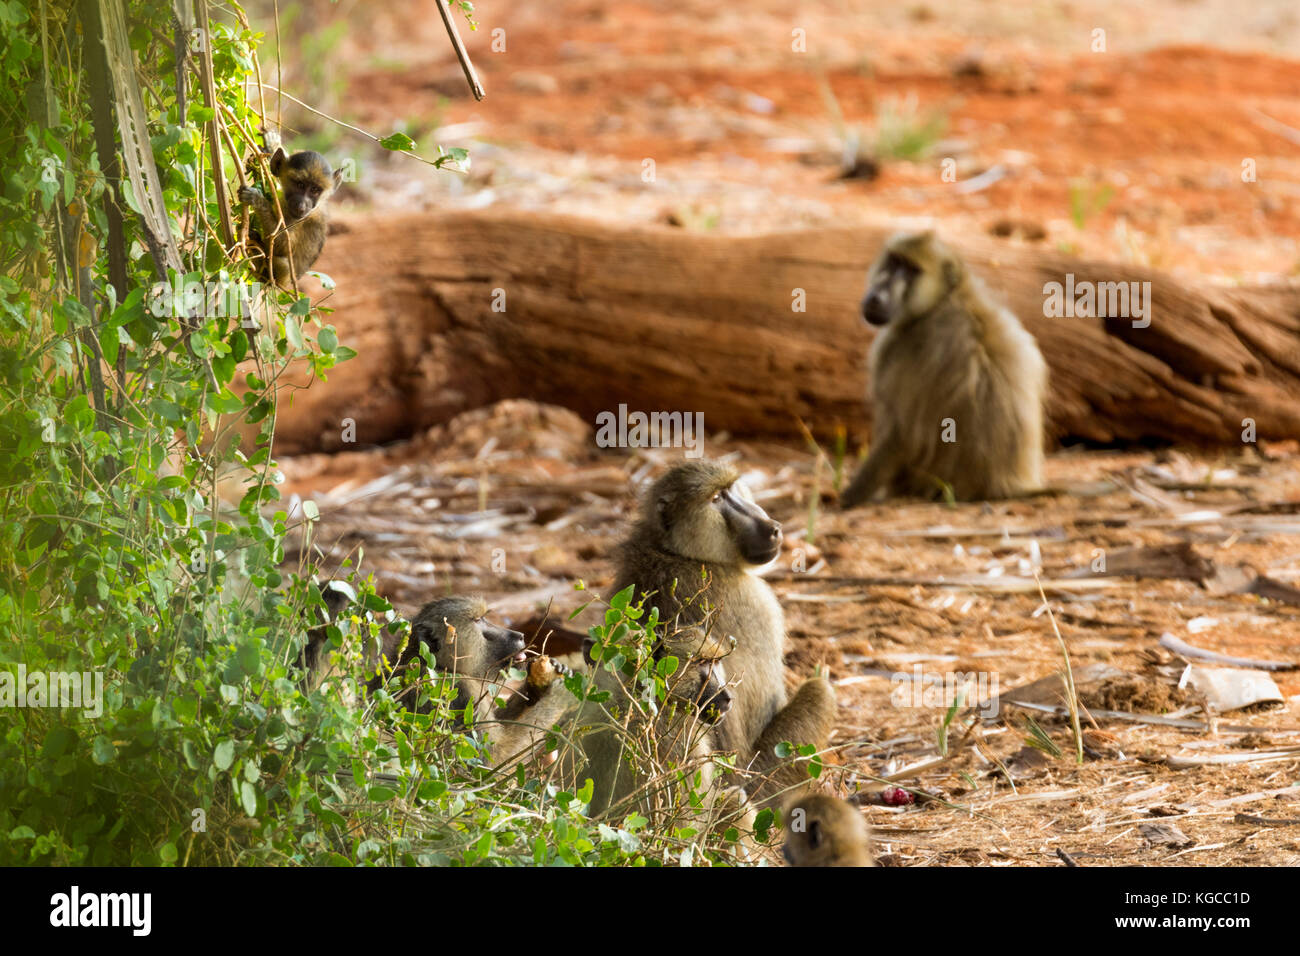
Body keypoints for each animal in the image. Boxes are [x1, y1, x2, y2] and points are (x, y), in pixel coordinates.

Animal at [237, 147, 342, 289]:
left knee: (283, 265)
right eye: (300, 184)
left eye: (315, 190)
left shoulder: (311, 221)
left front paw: (257, 200)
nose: (301, 206)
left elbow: (283, 247)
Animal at [600, 459, 837, 807]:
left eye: (731, 489)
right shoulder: (754, 604)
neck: (677, 553)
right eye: (715, 499)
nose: (773, 528)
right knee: (821, 692)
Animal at [840, 231, 1048, 507]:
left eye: (912, 271)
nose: (877, 296)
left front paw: (848, 497)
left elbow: (904, 434)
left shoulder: (904, 347)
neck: (945, 298)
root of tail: (1000, 485)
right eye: (894, 262)